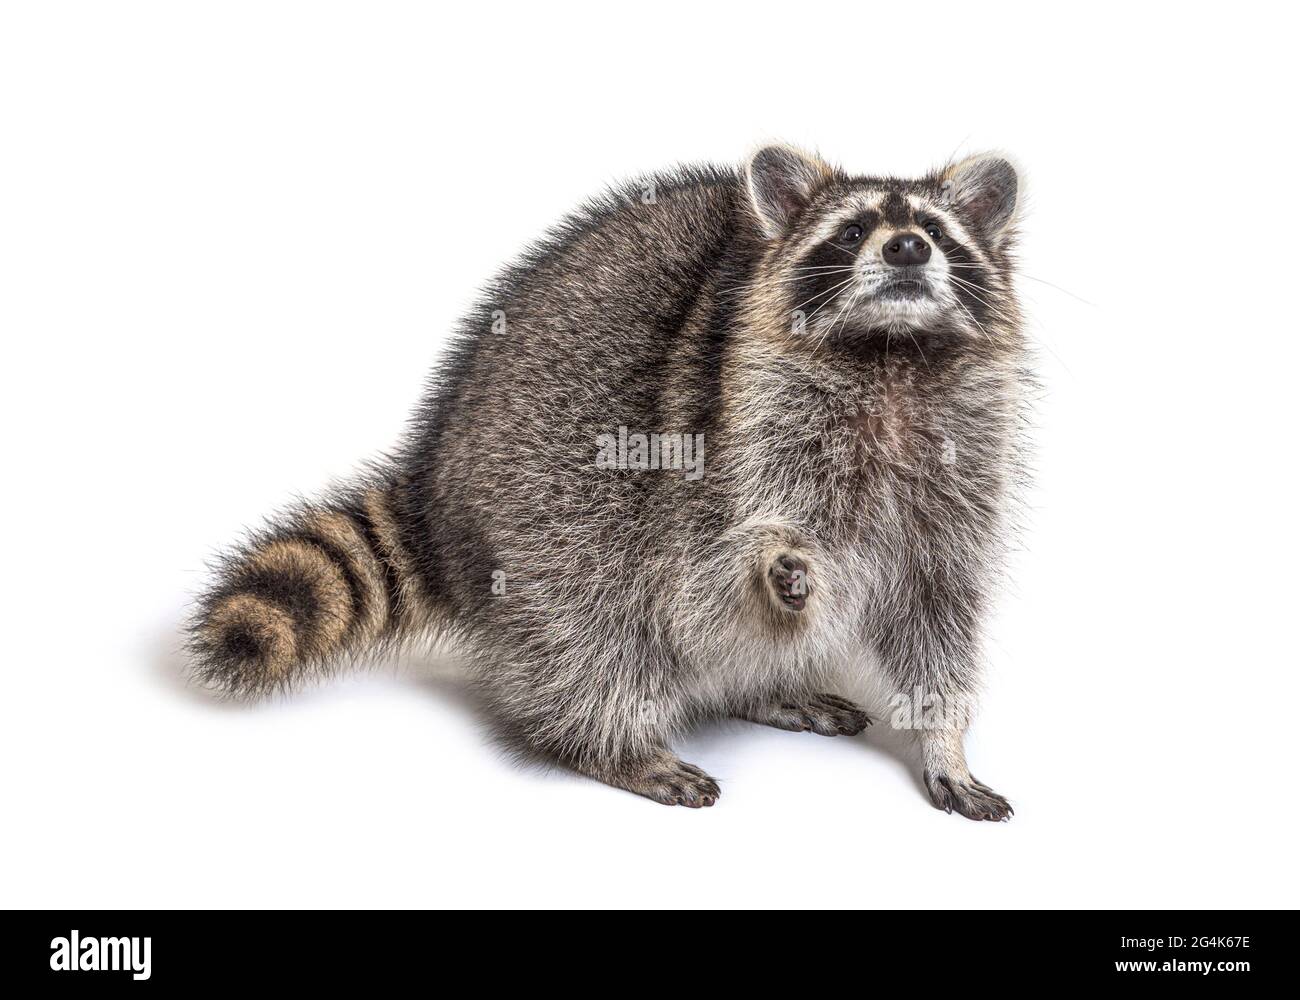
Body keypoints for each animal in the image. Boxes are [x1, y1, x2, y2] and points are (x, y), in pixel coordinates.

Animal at [190, 144, 1027, 820]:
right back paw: (612, 743)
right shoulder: (727, 450)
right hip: (537, 514)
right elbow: (711, 584)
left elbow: (938, 616)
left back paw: (761, 687)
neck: (890, 354)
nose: (909, 248)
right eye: (852, 232)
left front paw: (944, 740)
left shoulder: (957, 475)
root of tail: (436, 478)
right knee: (590, 631)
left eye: (939, 232)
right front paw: (783, 578)